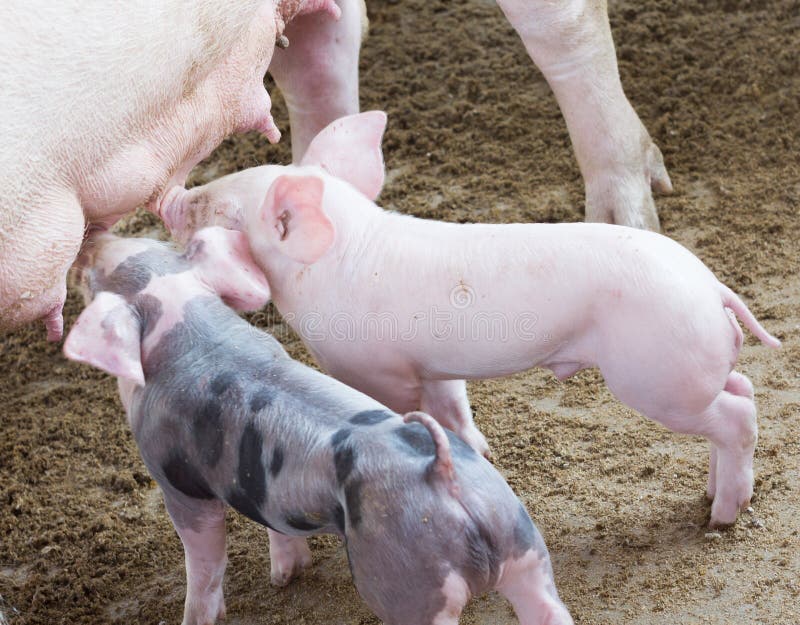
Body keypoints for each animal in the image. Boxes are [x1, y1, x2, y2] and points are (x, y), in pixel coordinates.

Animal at [63, 227, 574, 625]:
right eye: (150, 240)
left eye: (91, 281)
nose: (91, 239)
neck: (194, 334)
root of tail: (441, 474)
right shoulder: (256, 481)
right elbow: (274, 524)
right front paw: (284, 577)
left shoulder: (177, 480)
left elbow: (203, 561)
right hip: (522, 540)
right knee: (547, 607)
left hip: (410, 583)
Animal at [160, 112, 782, 529]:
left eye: (222, 209)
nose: (170, 197)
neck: (336, 257)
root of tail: (712, 288)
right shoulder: (434, 364)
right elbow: (454, 407)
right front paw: (478, 455)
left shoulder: (377, 367)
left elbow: (401, 408)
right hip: (690, 367)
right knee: (742, 388)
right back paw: (711, 495)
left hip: (655, 375)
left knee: (737, 416)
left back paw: (722, 517)